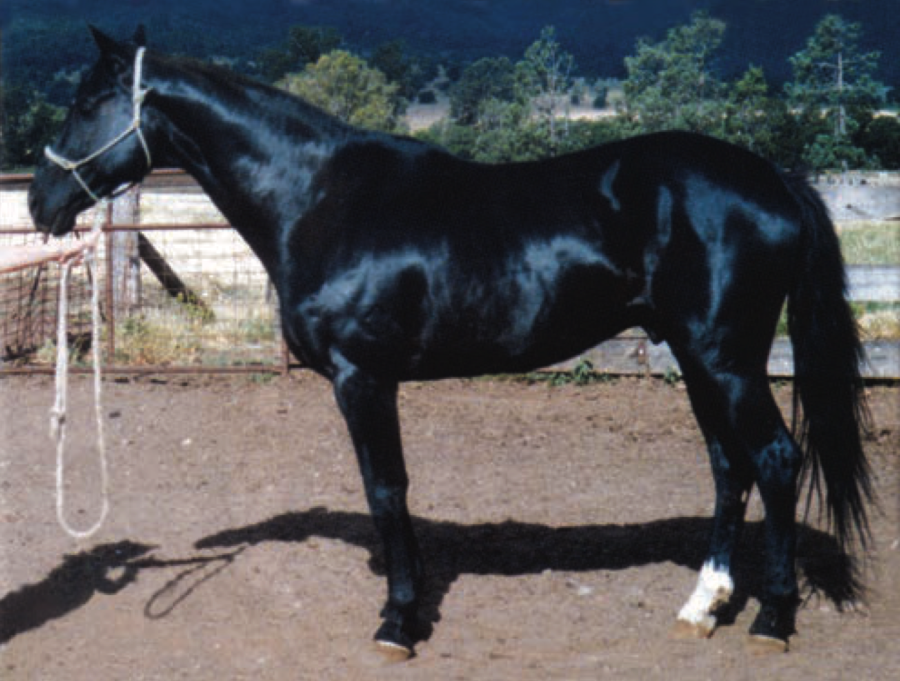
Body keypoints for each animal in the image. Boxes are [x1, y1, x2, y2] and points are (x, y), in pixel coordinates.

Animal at [29, 26, 872, 658]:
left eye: (87, 102)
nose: (39, 201)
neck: (321, 197)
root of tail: (773, 179)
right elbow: (394, 491)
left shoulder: (363, 378)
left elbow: (386, 489)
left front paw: (400, 620)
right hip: (699, 360)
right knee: (730, 467)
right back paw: (703, 604)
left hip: (727, 362)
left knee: (775, 459)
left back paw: (772, 617)